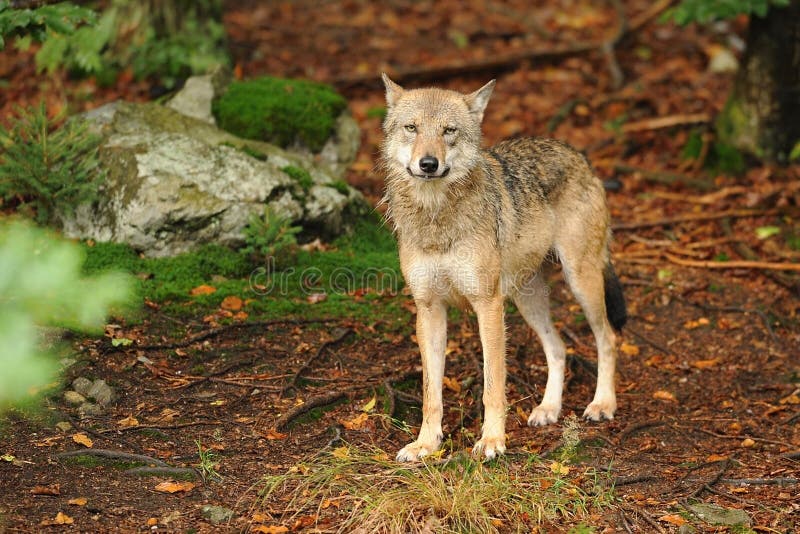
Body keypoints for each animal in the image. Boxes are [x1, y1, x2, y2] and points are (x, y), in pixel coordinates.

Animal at [380, 74, 627, 462]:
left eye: (449, 130)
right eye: (412, 128)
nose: (428, 163)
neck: (437, 219)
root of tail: (579, 156)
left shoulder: (488, 305)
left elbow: (493, 384)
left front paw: (492, 441)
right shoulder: (428, 309)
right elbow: (430, 393)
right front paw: (426, 444)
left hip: (580, 281)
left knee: (608, 339)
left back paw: (603, 404)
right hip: (527, 298)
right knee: (559, 348)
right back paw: (548, 409)